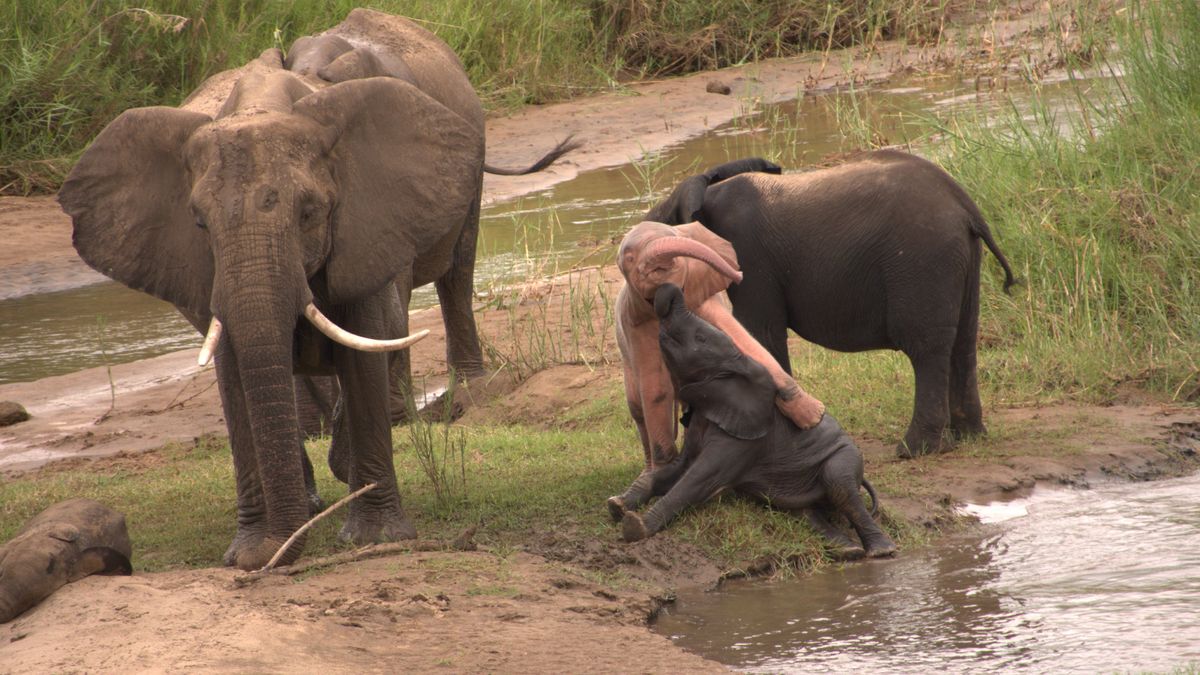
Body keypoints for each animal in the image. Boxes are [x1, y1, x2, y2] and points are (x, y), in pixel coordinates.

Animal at [57, 9, 574, 570]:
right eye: (198, 223)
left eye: (308, 213)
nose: (269, 558)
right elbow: (236, 373)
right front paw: (249, 551)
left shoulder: (373, 211)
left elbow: (367, 341)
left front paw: (373, 535)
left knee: (455, 273)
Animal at [606, 220, 825, 521]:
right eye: (628, 259)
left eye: (675, 239)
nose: (740, 274)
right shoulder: (634, 321)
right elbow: (655, 391)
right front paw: (657, 480)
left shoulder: (706, 299)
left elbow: (746, 344)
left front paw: (812, 419)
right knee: (638, 410)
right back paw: (624, 498)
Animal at [616, 284, 897, 560]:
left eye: (701, 338)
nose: (670, 288)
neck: (741, 364)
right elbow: (677, 468)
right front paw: (617, 504)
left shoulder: (743, 442)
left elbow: (697, 479)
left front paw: (635, 527)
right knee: (804, 511)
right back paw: (846, 550)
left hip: (846, 456)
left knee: (840, 485)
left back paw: (882, 551)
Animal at [649, 151, 1017, 457]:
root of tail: (966, 207)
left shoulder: (749, 257)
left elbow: (762, 335)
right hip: (960, 259)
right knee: (963, 340)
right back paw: (969, 437)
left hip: (922, 259)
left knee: (926, 348)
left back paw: (914, 451)